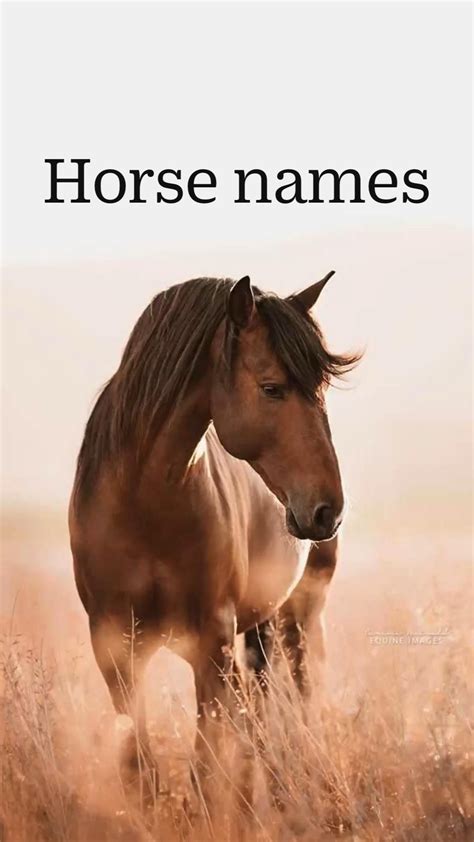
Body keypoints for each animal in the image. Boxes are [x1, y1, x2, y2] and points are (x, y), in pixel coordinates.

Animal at [69, 272, 358, 815]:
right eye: (272, 388)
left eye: (322, 391)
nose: (328, 510)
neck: (146, 505)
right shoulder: (113, 646)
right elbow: (141, 769)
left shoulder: (212, 643)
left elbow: (204, 766)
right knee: (258, 713)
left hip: (297, 619)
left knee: (295, 707)